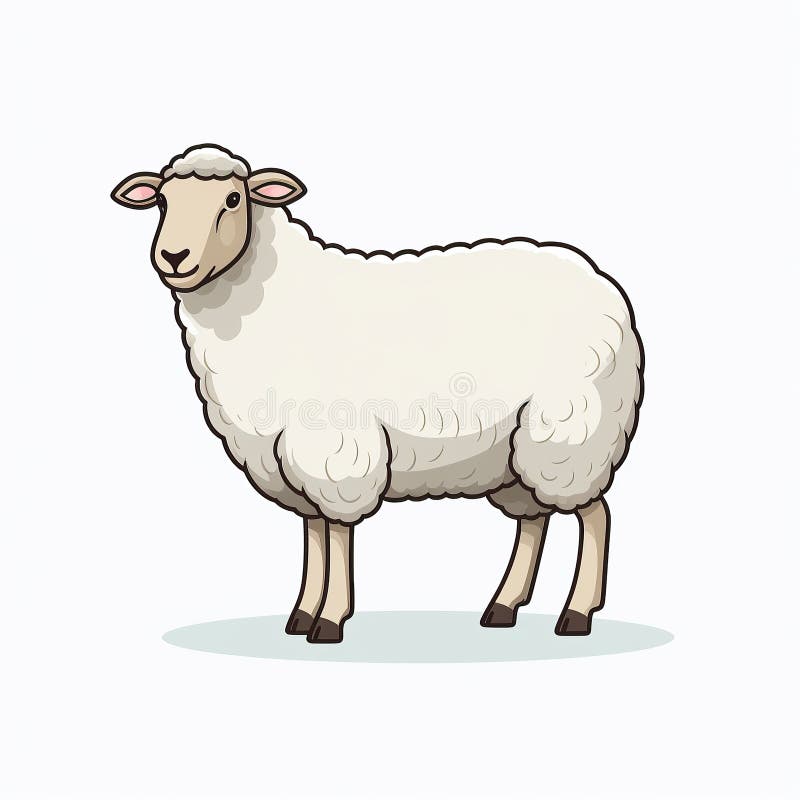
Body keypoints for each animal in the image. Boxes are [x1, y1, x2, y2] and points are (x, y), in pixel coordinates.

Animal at [112, 144, 644, 644]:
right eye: (161, 200)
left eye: (232, 199)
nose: (173, 258)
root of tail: (604, 284)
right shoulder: (288, 456)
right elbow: (314, 535)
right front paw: (301, 613)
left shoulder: (333, 447)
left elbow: (338, 532)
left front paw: (329, 620)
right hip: (514, 454)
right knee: (535, 520)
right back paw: (502, 606)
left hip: (570, 434)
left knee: (595, 514)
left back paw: (576, 614)